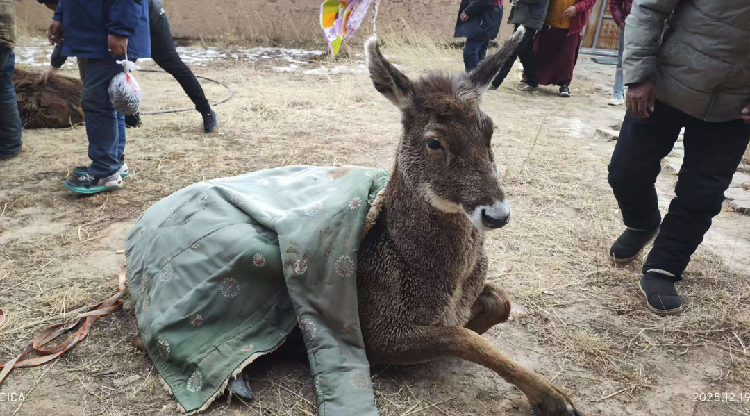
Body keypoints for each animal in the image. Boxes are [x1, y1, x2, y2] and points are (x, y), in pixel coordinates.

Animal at [356, 28, 582, 416]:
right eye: (434, 142)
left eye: (489, 129)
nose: (497, 214)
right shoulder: (378, 331)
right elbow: (462, 337)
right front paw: (554, 398)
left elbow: (501, 302)